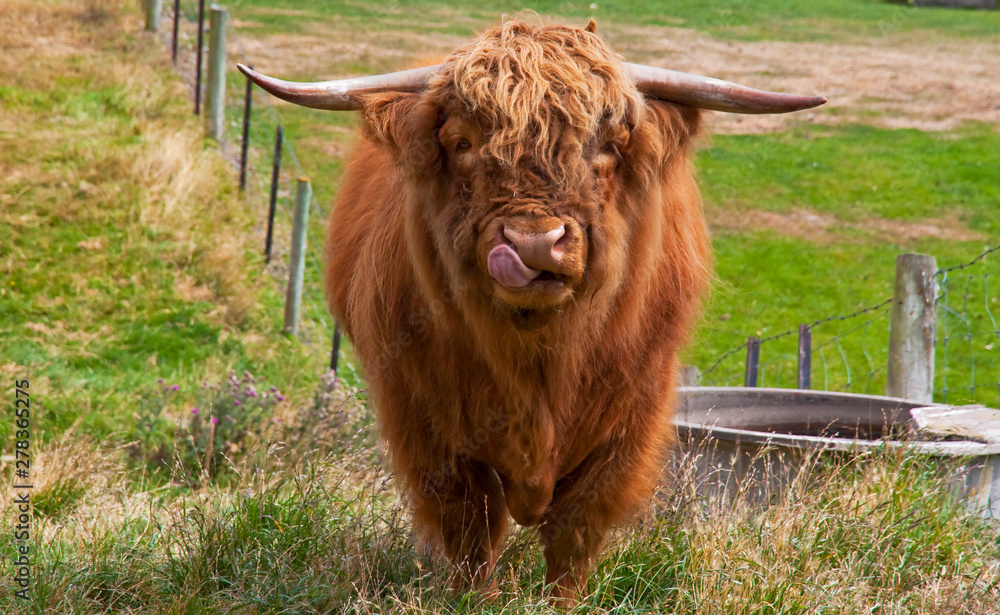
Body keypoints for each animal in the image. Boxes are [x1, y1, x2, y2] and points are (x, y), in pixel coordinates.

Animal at [240, 19, 823, 604]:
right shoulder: (423, 415)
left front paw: (561, 602)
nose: (534, 244)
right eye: (462, 143)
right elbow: (470, 521)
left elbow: (575, 527)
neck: (538, 357)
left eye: (606, 146)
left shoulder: (632, 414)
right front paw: (474, 600)